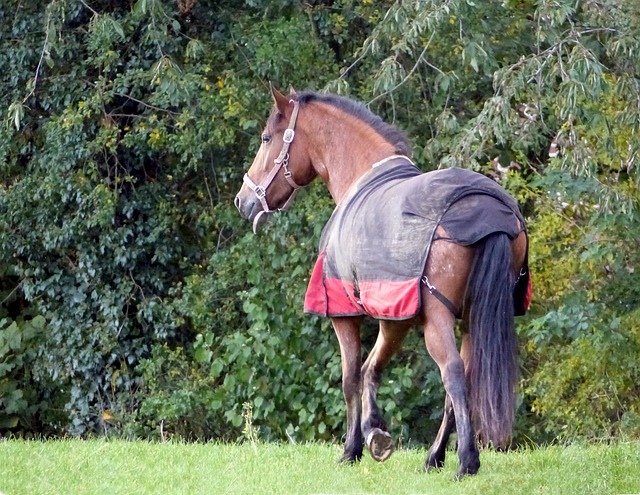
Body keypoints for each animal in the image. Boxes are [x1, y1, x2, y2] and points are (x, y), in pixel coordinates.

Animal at [234, 85, 530, 479]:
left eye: (267, 137)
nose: (243, 200)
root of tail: (490, 212)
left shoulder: (346, 314)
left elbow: (351, 378)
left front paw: (353, 448)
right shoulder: (395, 318)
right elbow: (371, 368)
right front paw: (376, 432)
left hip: (439, 321)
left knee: (453, 376)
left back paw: (466, 461)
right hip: (471, 320)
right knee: (461, 382)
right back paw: (434, 457)